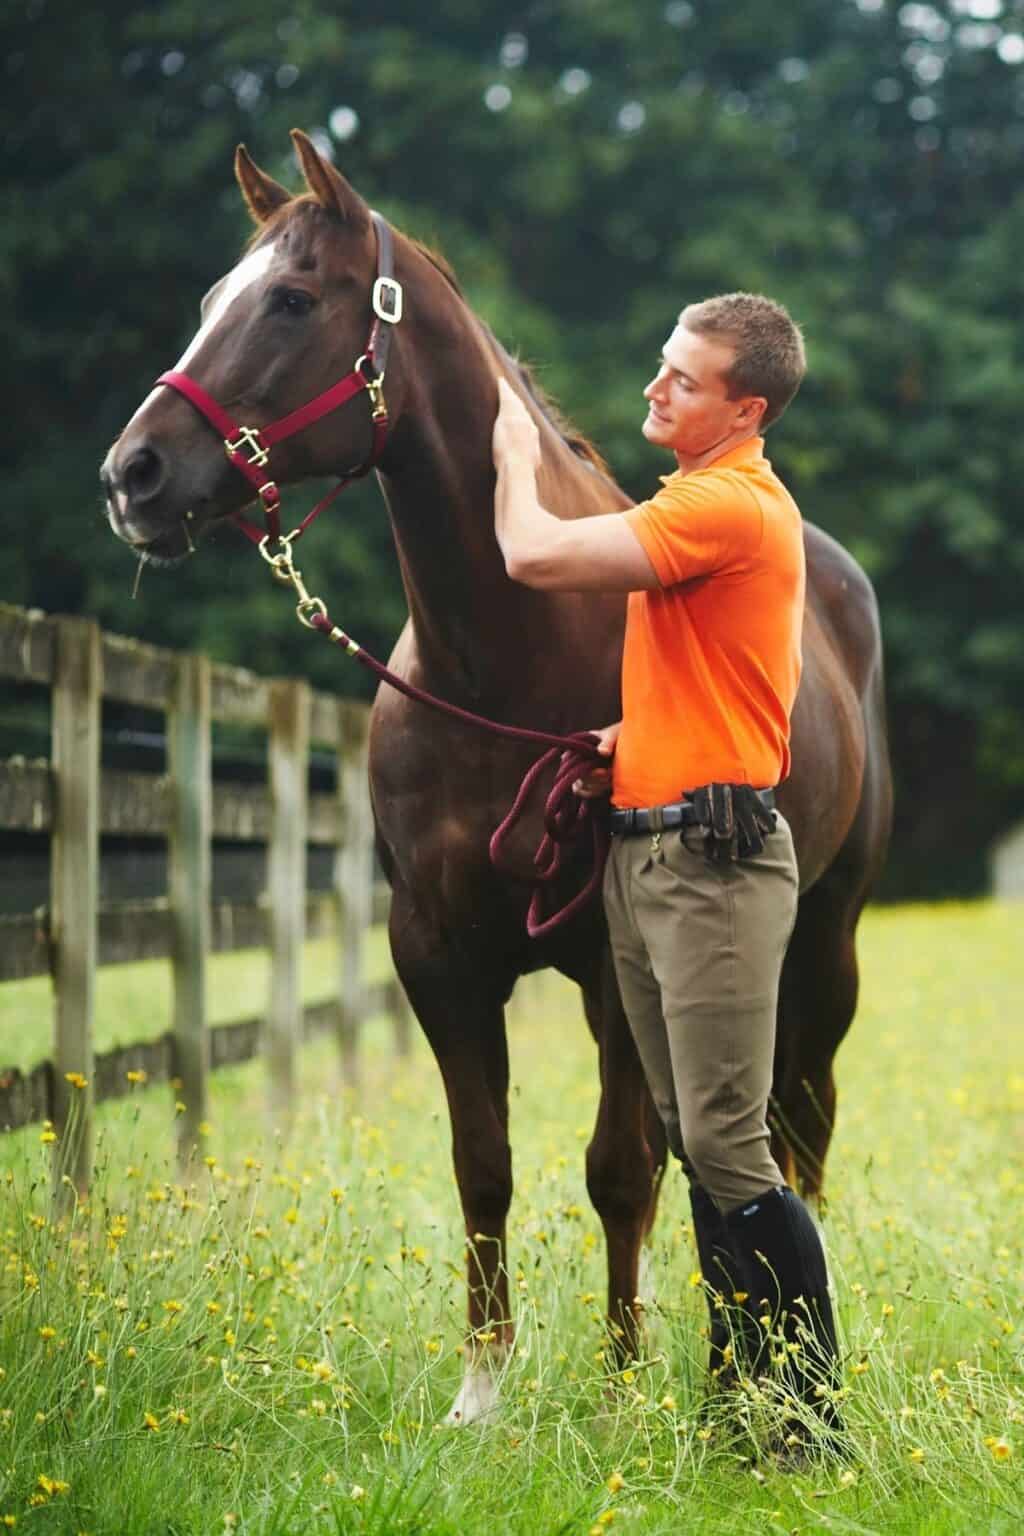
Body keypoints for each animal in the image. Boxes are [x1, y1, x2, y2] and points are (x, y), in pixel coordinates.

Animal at [101, 130, 892, 1424]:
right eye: (214, 297)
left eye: (290, 299)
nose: (135, 475)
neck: (505, 660)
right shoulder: (437, 953)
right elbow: (485, 1163)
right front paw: (482, 1388)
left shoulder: (621, 959)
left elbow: (618, 1167)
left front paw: (618, 1385)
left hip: (823, 939)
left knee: (796, 1123)